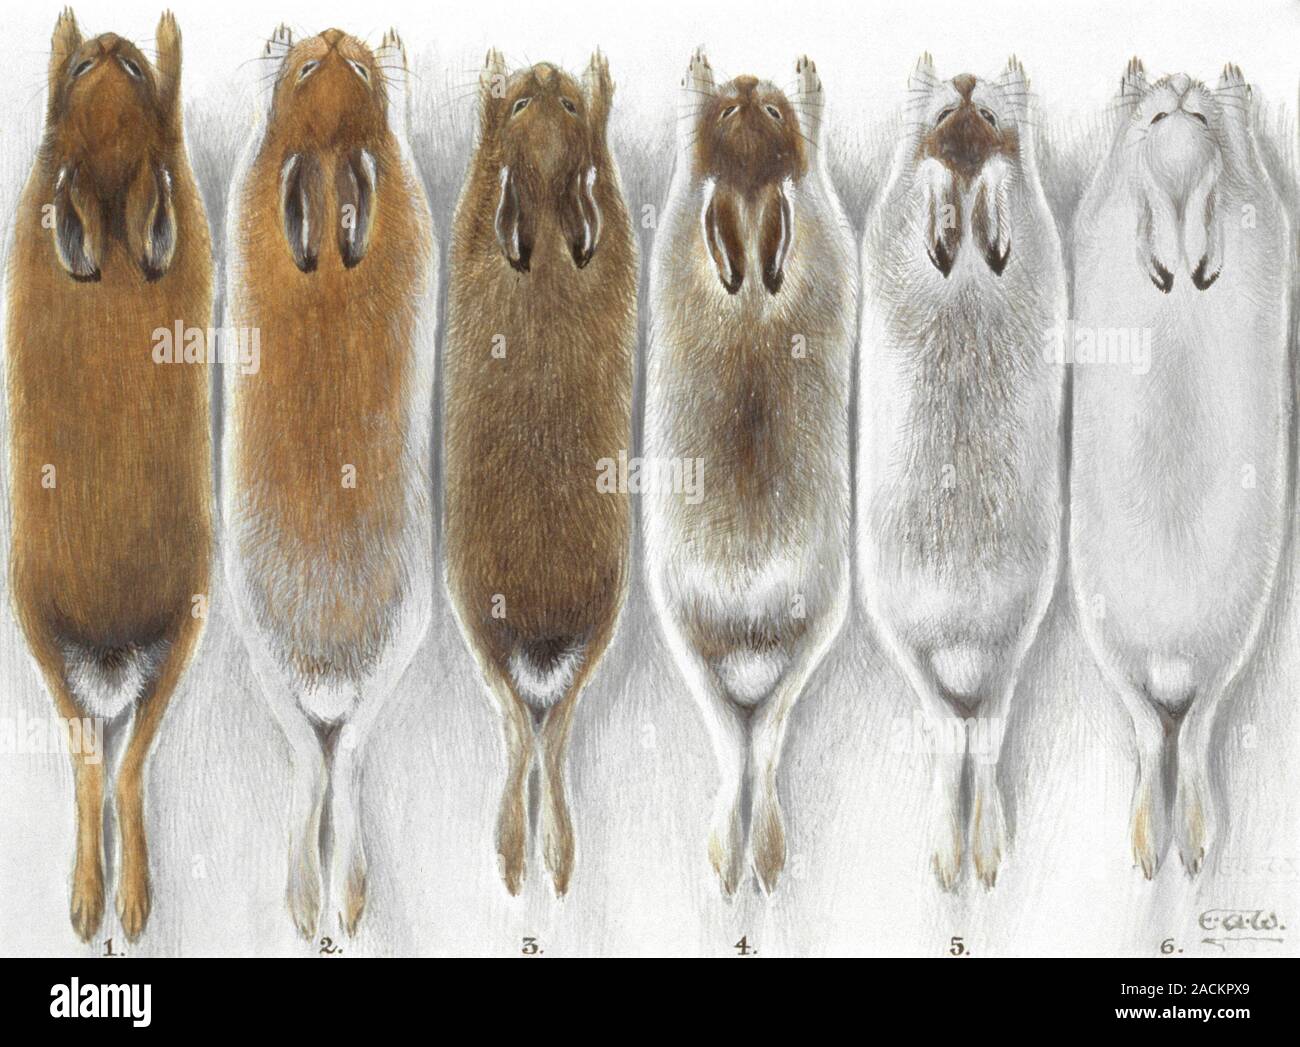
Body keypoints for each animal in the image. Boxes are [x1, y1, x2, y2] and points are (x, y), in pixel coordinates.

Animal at [644, 49, 857, 895]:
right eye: (741, 113)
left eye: (767, 116)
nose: (744, 84)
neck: (751, 189)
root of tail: (748, 633)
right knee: (749, 745)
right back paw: (745, 864)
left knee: (750, 745)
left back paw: (745, 864)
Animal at [857, 55, 1067, 889]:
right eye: (944, 103)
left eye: (993, 107)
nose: (971, 76)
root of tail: (962, 648)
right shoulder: (896, 221)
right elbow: (920, 199)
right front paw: (946, 213)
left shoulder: (1033, 225)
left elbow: (1011, 203)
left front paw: (988, 213)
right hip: (899, 628)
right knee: (953, 735)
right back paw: (955, 855)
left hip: (1017, 636)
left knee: (980, 735)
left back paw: (981, 851)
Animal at [1069, 60, 1291, 878]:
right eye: (1163, 116)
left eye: (1192, 117)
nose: (1179, 80)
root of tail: (1171, 664)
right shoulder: (1109, 199)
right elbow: (1123, 191)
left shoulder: (1257, 204)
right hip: (1114, 643)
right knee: (1157, 732)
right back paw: (1163, 850)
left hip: (1231, 646)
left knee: (1184, 734)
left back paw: (1183, 851)